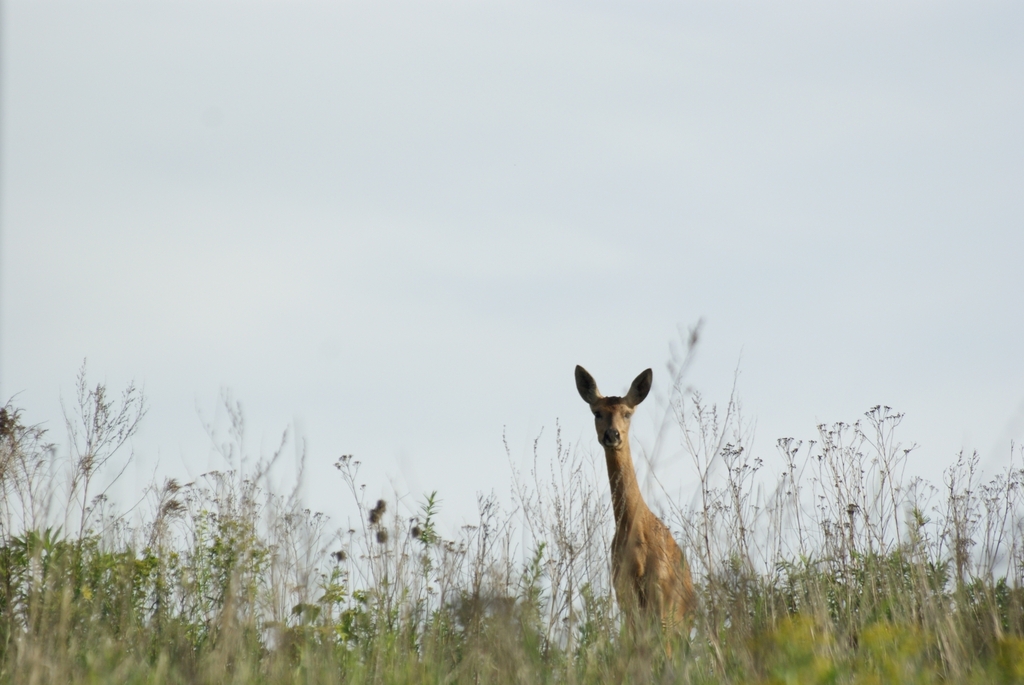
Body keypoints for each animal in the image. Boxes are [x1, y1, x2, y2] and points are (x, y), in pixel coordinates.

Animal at [575, 365, 695, 634]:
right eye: (597, 413)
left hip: (679, 617)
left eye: (627, 413)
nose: (612, 434)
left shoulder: (660, 592)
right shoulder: (623, 592)